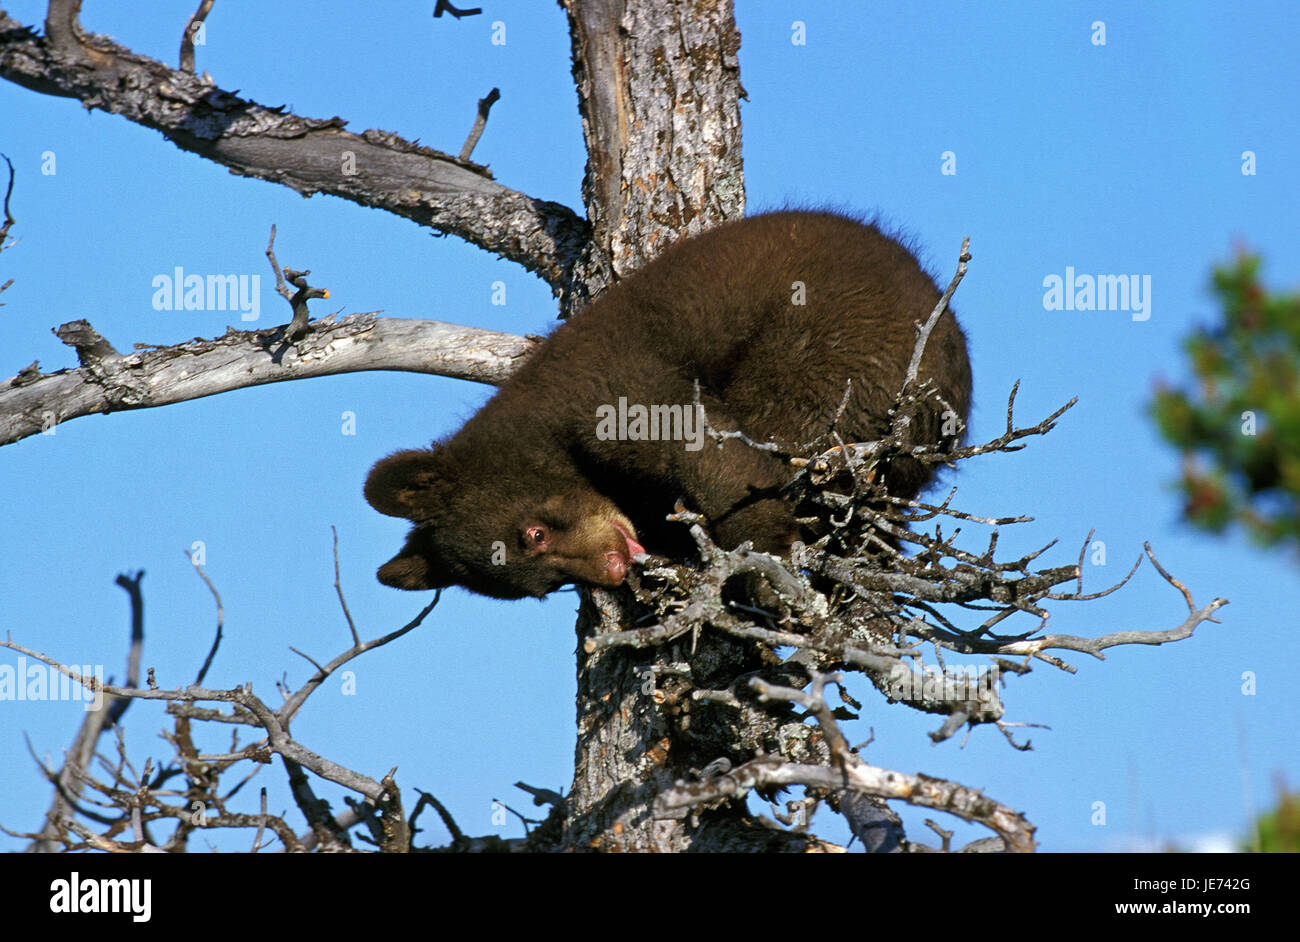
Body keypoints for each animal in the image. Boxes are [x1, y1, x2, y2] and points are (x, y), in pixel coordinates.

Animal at [364, 210, 972, 599]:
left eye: (533, 535)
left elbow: (704, 445)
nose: (613, 569)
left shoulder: (612, 386)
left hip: (837, 347)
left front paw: (764, 562)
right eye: (547, 586)